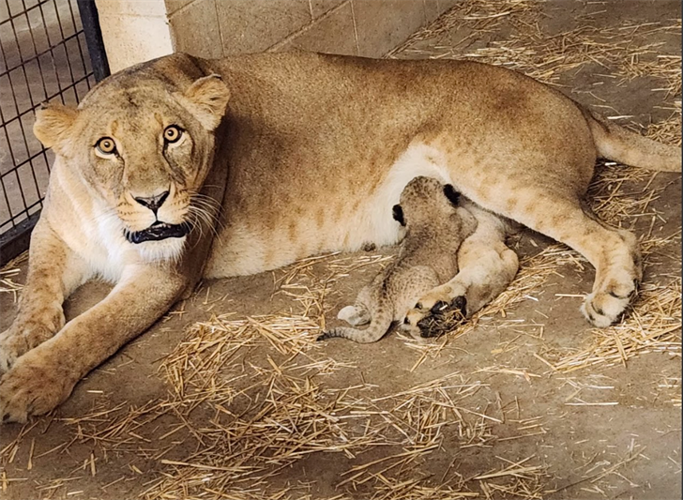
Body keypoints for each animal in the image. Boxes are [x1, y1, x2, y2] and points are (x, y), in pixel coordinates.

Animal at [318, 176, 479, 343]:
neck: (425, 212)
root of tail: (382, 299)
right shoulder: (465, 221)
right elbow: (470, 218)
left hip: (365, 294)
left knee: (359, 316)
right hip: (426, 279)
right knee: (408, 322)